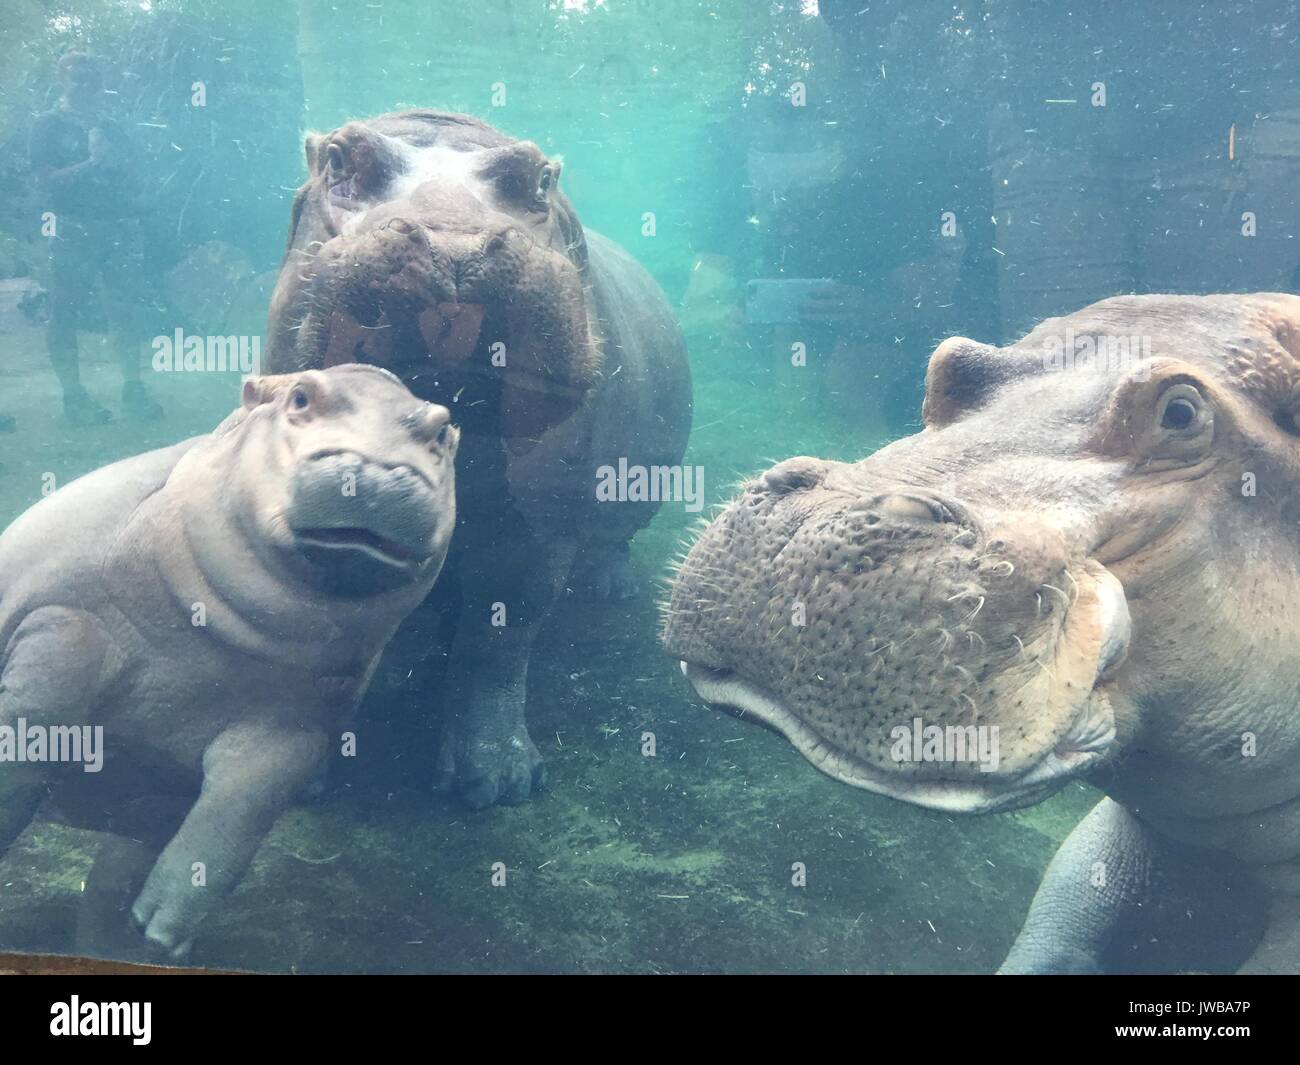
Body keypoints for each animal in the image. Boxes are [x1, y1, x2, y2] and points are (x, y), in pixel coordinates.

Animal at [0, 364, 458, 958]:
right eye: (301, 396)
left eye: (443, 430)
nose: (380, 469)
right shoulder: (66, 623)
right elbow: (31, 725)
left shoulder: (295, 724)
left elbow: (239, 810)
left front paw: (161, 928)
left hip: (143, 809)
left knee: (110, 879)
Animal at [265, 110, 692, 808]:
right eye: (339, 158)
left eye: (540, 177)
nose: (452, 247)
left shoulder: (536, 524)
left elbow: (499, 637)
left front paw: (494, 783)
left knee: (611, 543)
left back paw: (611, 587)